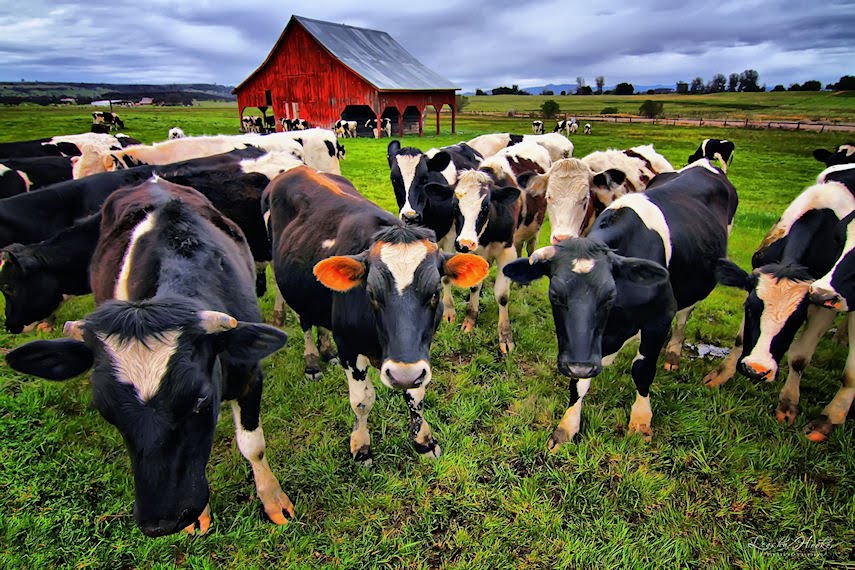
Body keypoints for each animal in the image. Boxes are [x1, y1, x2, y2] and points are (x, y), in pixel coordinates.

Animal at [5, 177, 291, 537]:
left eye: (199, 398)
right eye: (105, 409)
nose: (162, 521)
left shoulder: (248, 372)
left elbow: (253, 445)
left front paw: (274, 500)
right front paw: (200, 517)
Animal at [265, 165, 488, 464]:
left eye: (435, 292)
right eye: (370, 293)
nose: (402, 375)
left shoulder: (418, 354)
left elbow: (416, 395)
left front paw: (424, 440)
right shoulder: (349, 348)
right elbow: (362, 401)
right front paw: (361, 447)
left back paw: (327, 351)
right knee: (305, 322)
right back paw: (313, 362)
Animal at [387, 140, 484, 321]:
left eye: (425, 179)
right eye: (394, 179)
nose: (411, 217)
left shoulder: (451, 238)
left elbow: (445, 276)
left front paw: (448, 311)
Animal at [452, 142, 553, 353]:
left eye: (485, 206)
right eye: (456, 206)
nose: (464, 243)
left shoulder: (506, 250)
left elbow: (502, 295)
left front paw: (505, 336)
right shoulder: (477, 251)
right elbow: (474, 286)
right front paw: (470, 321)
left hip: (535, 228)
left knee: (530, 248)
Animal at [502, 160, 738, 449]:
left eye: (609, 295)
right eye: (555, 295)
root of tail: (704, 163)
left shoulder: (659, 318)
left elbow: (642, 369)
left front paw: (640, 421)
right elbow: (578, 383)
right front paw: (567, 426)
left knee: (683, 316)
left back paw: (672, 353)